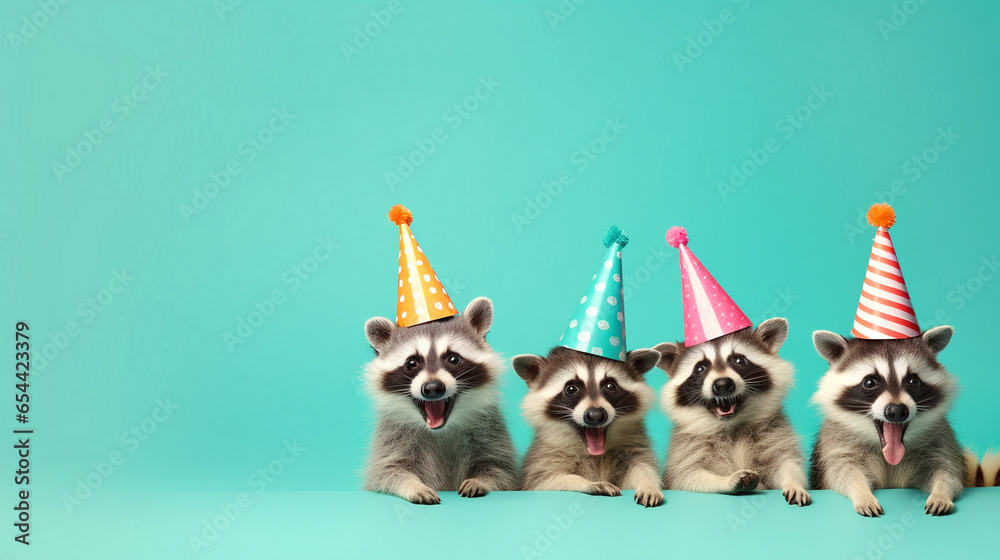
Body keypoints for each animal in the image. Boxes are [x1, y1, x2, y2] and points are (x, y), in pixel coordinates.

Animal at [362, 297, 518, 503]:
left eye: (453, 359)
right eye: (412, 363)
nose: (432, 388)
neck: (442, 429)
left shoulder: (491, 431)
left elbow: (500, 470)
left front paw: (480, 481)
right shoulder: (392, 437)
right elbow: (387, 471)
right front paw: (413, 485)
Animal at [512, 347, 665, 507]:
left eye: (610, 386)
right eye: (571, 389)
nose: (596, 415)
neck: (595, 454)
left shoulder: (633, 447)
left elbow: (643, 467)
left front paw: (649, 484)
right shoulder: (544, 457)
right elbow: (543, 480)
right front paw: (585, 483)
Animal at [655, 318, 811, 506]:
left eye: (739, 361)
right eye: (700, 368)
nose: (722, 384)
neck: (731, 425)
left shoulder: (776, 433)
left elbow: (787, 463)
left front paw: (794, 483)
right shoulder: (686, 448)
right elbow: (687, 476)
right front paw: (725, 480)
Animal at [809, 326, 963, 516]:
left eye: (913, 381)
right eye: (869, 382)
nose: (896, 411)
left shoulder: (940, 441)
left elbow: (948, 471)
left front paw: (941, 493)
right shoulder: (835, 443)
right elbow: (842, 472)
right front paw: (862, 494)